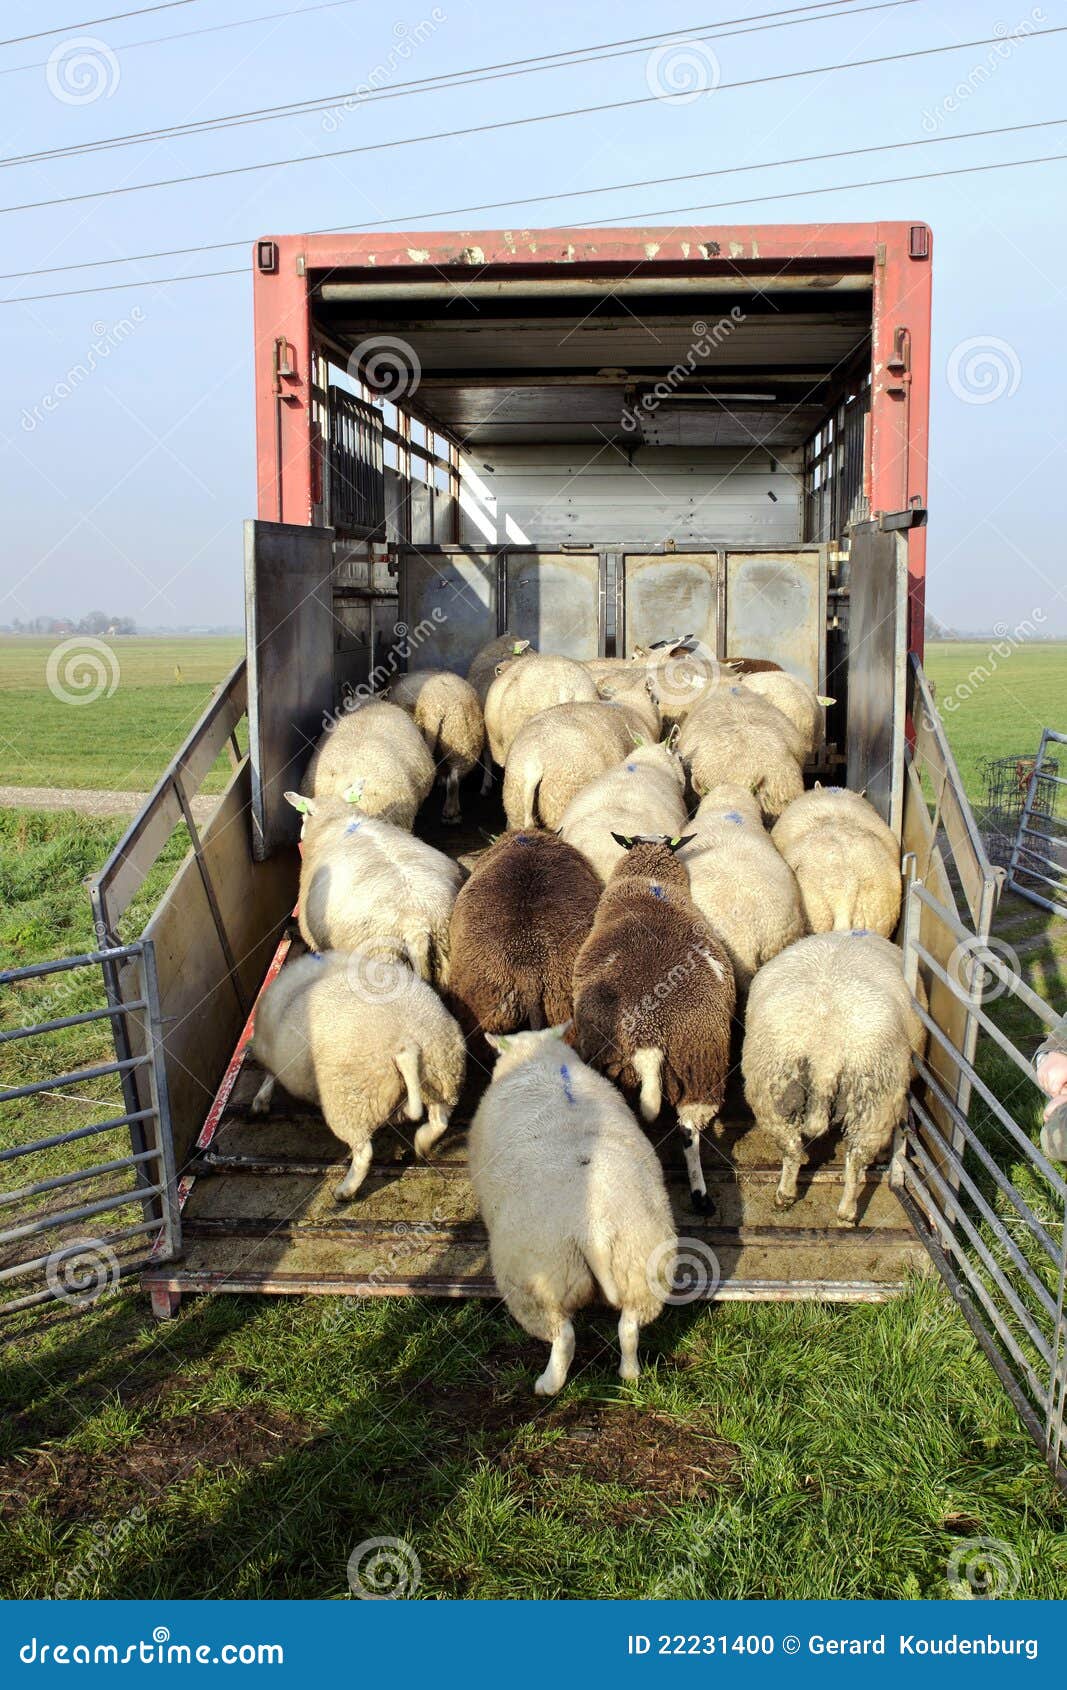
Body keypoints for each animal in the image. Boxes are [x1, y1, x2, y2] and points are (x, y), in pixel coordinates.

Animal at [249, 950, 465, 1200]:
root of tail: (406, 1042)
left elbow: (268, 1076)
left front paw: (261, 1100)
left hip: (351, 1101)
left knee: (364, 1152)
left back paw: (345, 1190)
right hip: (443, 1077)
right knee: (440, 1121)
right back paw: (422, 1142)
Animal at [468, 1025, 677, 1393]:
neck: (542, 1058)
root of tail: (593, 1231)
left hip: (540, 1281)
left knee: (563, 1337)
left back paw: (547, 1384)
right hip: (642, 1270)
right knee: (629, 1328)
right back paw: (629, 1372)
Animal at [742, 930, 925, 1225]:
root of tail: (825, 1049)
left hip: (772, 1089)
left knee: (791, 1147)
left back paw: (785, 1195)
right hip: (874, 1098)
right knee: (856, 1161)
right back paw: (847, 1212)